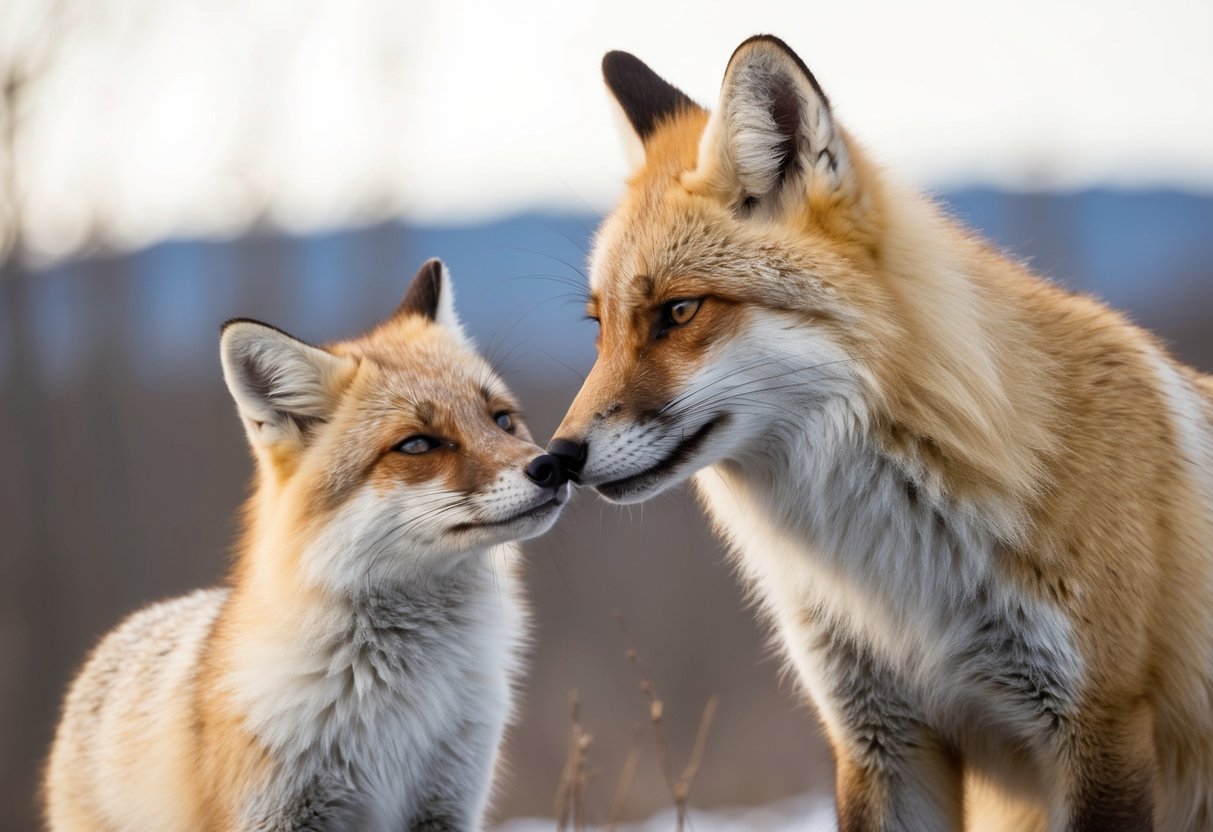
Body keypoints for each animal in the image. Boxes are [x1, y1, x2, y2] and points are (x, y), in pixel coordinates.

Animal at [43, 258, 571, 831]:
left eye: (502, 419)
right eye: (417, 444)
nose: (553, 466)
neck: (399, 703)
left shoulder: (447, 804)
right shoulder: (275, 811)